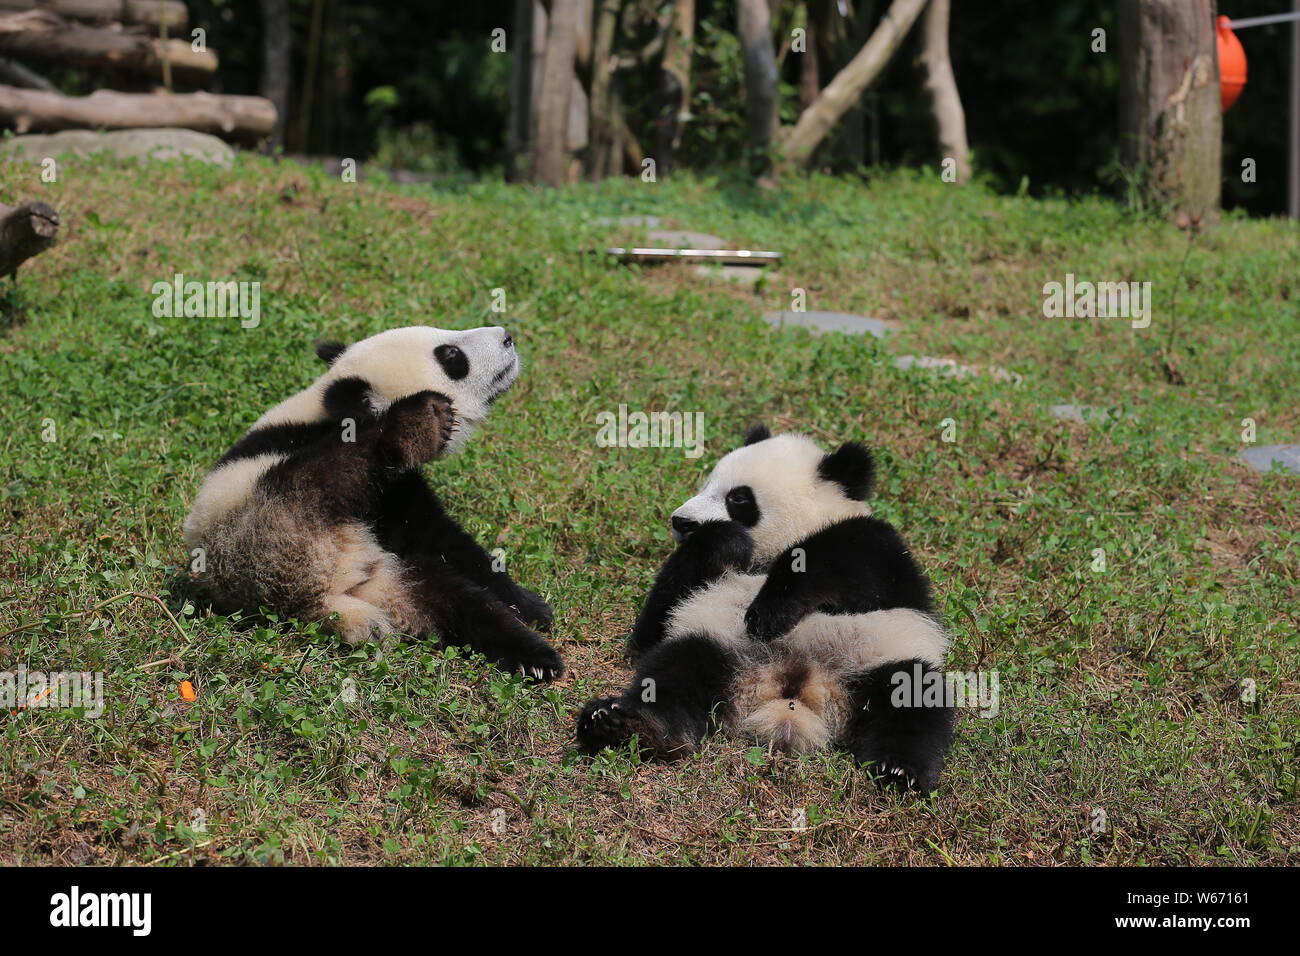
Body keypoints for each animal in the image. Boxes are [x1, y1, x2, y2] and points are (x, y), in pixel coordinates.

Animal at [182, 325, 564, 680]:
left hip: (387, 580)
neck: (327, 406)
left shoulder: (394, 494)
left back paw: (537, 660)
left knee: (457, 599)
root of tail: (318, 597)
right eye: (450, 356)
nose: (507, 336)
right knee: (334, 469)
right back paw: (417, 422)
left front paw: (532, 607)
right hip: (266, 517)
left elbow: (438, 539)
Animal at [576, 425, 954, 793]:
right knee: (674, 671)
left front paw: (766, 614)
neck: (768, 553)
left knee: (911, 698)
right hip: (716, 645)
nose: (682, 522)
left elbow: (845, 564)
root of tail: (788, 691)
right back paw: (626, 725)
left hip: (878, 656)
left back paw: (899, 769)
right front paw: (722, 541)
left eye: (738, 497)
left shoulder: (883, 553)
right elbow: (653, 629)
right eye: (706, 485)